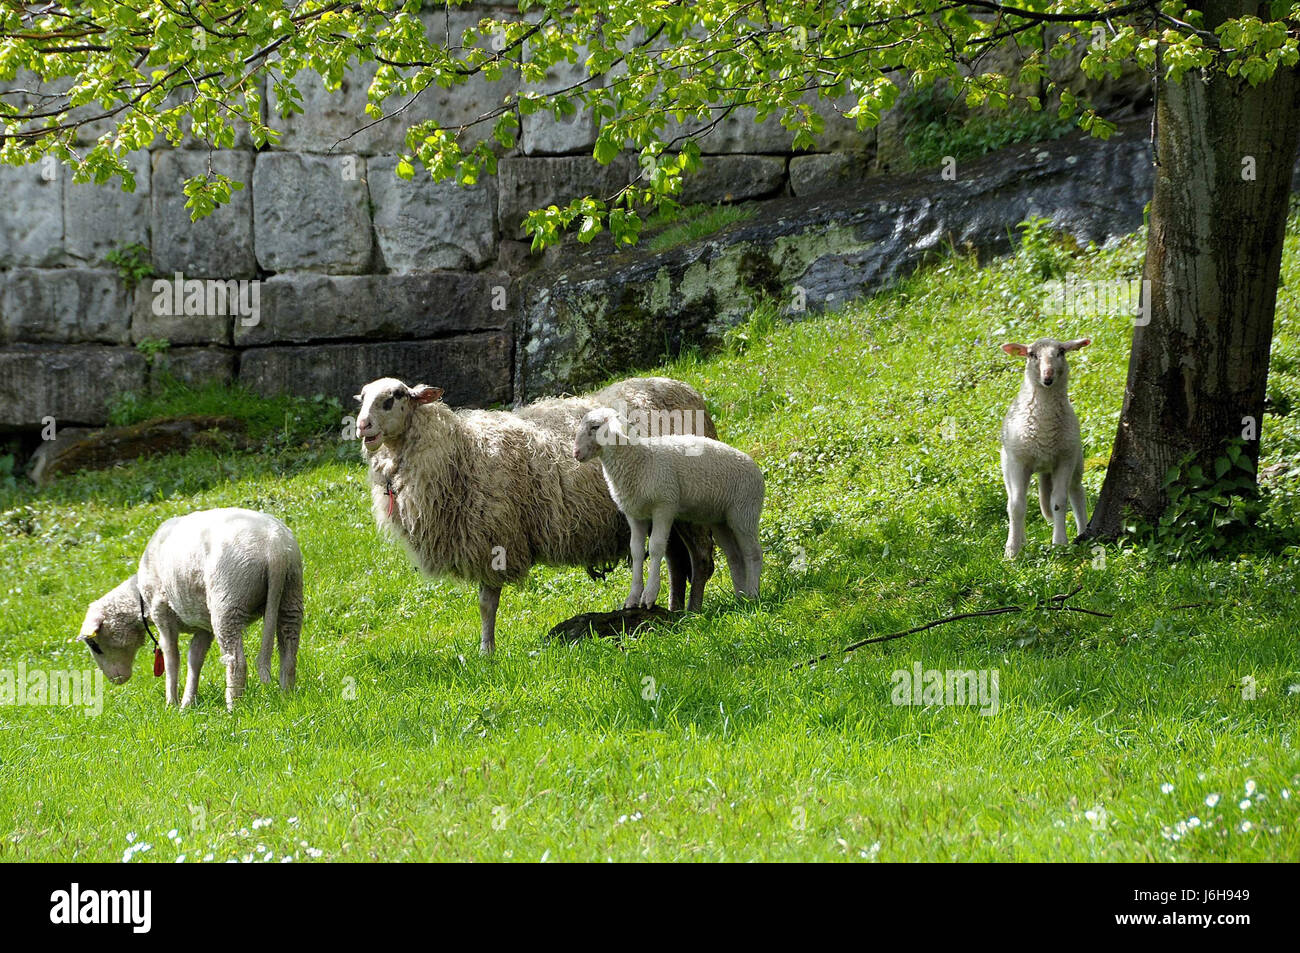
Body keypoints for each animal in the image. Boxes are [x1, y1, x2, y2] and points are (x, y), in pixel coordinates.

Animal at [75, 508, 303, 710]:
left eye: (95, 645)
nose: (116, 680)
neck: (140, 599)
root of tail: (275, 550)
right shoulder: (203, 625)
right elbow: (195, 658)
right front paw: (187, 704)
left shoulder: (162, 612)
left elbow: (171, 657)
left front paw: (171, 704)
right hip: (291, 594)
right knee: (289, 653)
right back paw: (287, 697)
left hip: (228, 601)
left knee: (237, 662)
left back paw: (233, 708)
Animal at [355, 376, 717, 654]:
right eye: (362, 398)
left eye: (395, 397)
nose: (362, 426)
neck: (459, 452)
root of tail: (685, 388)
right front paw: (486, 651)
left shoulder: (496, 538)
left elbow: (487, 604)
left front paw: (486, 651)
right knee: (676, 562)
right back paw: (670, 612)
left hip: (690, 501)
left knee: (700, 559)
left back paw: (694, 614)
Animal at [574, 407, 765, 608]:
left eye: (595, 427)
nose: (575, 453)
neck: (640, 460)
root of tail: (756, 468)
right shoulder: (634, 514)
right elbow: (636, 551)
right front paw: (633, 597)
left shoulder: (664, 505)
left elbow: (656, 546)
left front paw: (649, 595)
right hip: (721, 520)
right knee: (735, 556)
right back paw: (741, 598)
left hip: (744, 511)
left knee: (753, 553)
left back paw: (753, 595)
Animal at [999, 337, 1091, 558]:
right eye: (1032, 354)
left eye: (1061, 352)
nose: (1047, 376)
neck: (1045, 430)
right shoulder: (1018, 462)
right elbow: (1016, 506)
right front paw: (1012, 551)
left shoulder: (1064, 460)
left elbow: (1059, 501)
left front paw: (1060, 543)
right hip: (1006, 465)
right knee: (1012, 498)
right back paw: (1021, 538)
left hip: (1076, 460)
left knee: (1077, 492)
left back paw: (1083, 531)